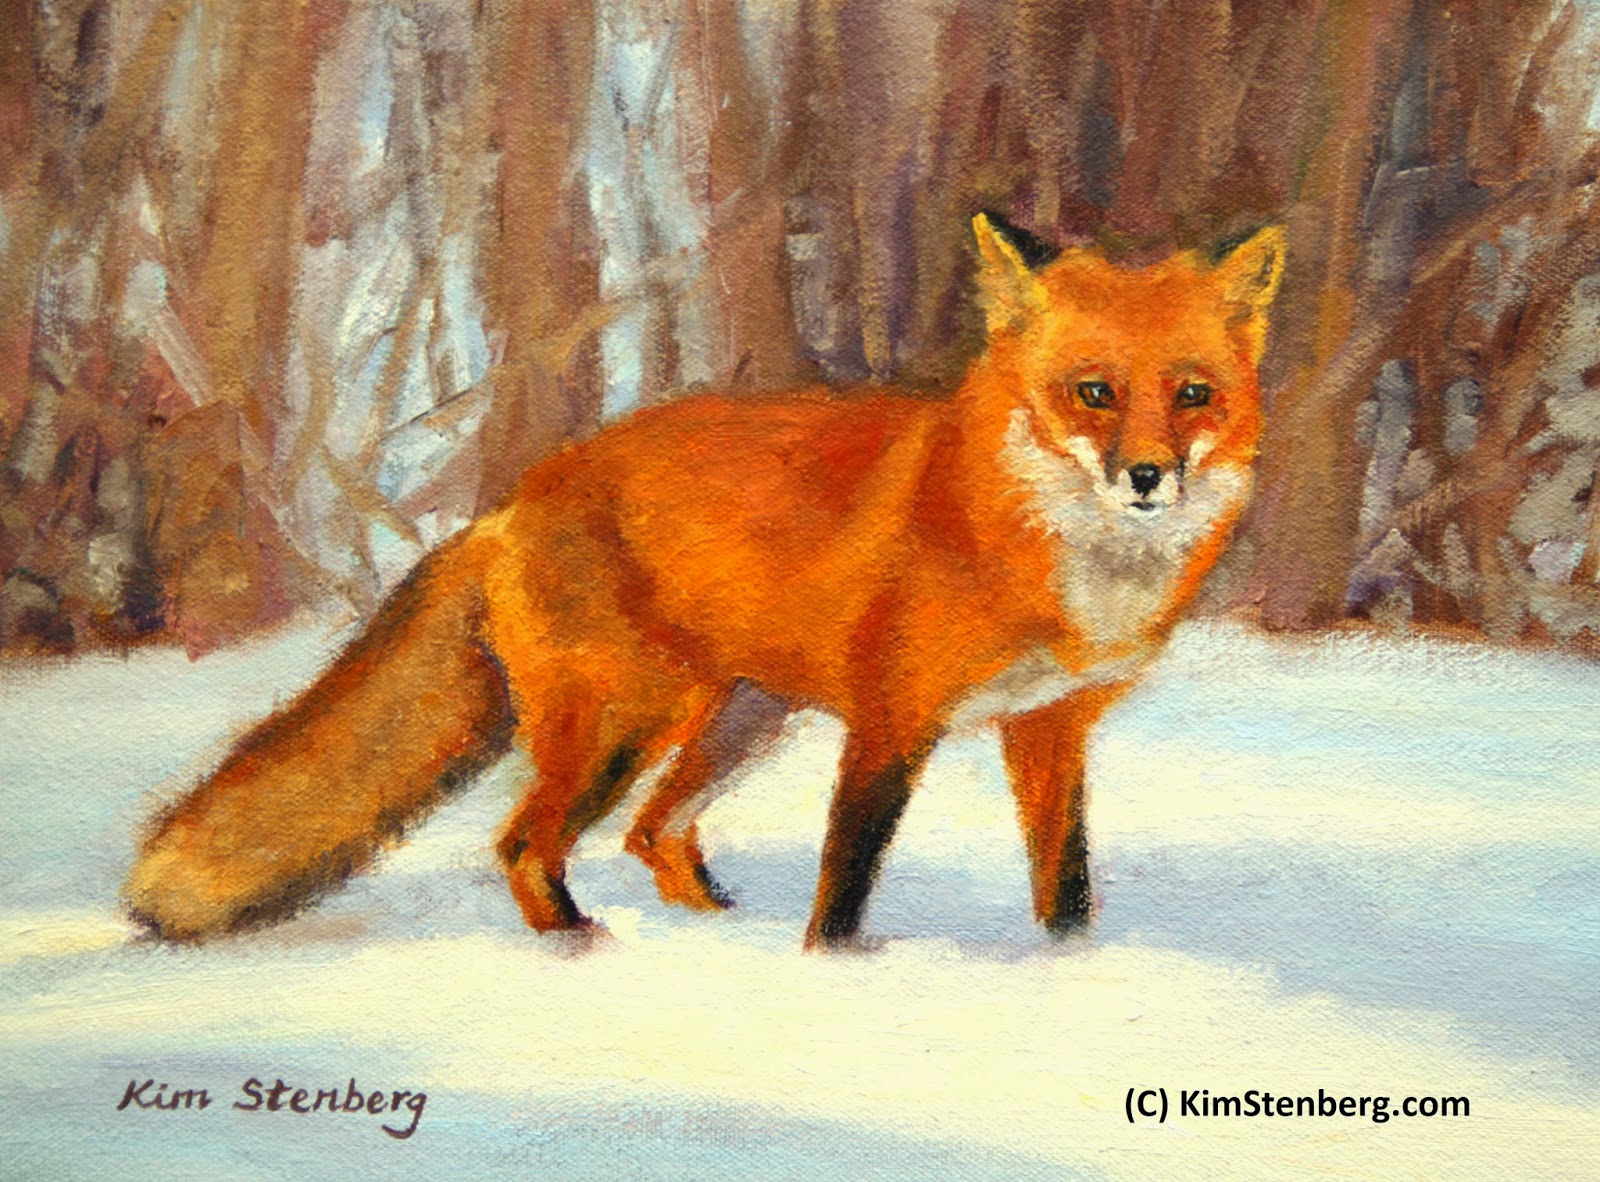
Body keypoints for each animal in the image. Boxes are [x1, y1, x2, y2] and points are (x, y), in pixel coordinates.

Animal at [123, 214, 1282, 950]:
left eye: (1191, 395)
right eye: (1092, 393)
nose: (1147, 477)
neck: (1049, 553)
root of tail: (511, 500)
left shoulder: (1048, 727)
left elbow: (1065, 883)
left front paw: (1067, 974)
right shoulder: (892, 721)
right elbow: (846, 884)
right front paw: (836, 978)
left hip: (737, 719)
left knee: (651, 832)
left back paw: (715, 934)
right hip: (623, 720)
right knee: (528, 842)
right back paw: (582, 952)